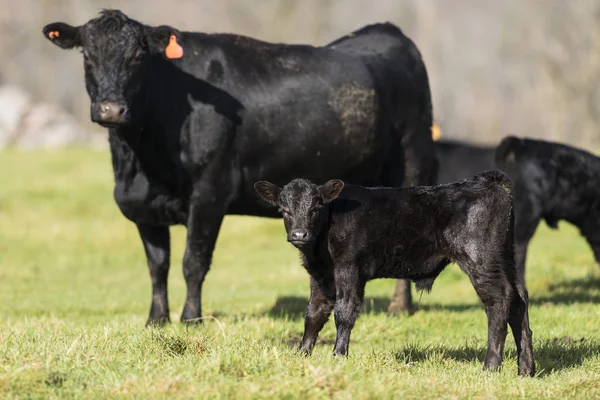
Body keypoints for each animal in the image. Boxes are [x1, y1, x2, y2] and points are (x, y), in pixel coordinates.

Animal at [43, 9, 436, 324]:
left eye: (139, 57)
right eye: (87, 55)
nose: (110, 109)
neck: (140, 164)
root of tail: (387, 32)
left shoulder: (209, 195)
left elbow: (193, 261)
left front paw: (191, 318)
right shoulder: (143, 207)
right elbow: (158, 266)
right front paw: (156, 320)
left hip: (413, 159)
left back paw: (400, 307)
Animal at [253, 171, 536, 376]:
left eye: (315, 209)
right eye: (284, 210)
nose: (299, 234)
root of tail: (484, 180)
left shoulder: (349, 268)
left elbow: (344, 312)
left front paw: (338, 355)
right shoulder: (321, 276)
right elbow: (314, 313)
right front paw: (302, 354)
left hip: (481, 259)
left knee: (499, 299)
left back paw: (490, 367)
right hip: (505, 257)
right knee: (519, 300)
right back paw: (526, 369)